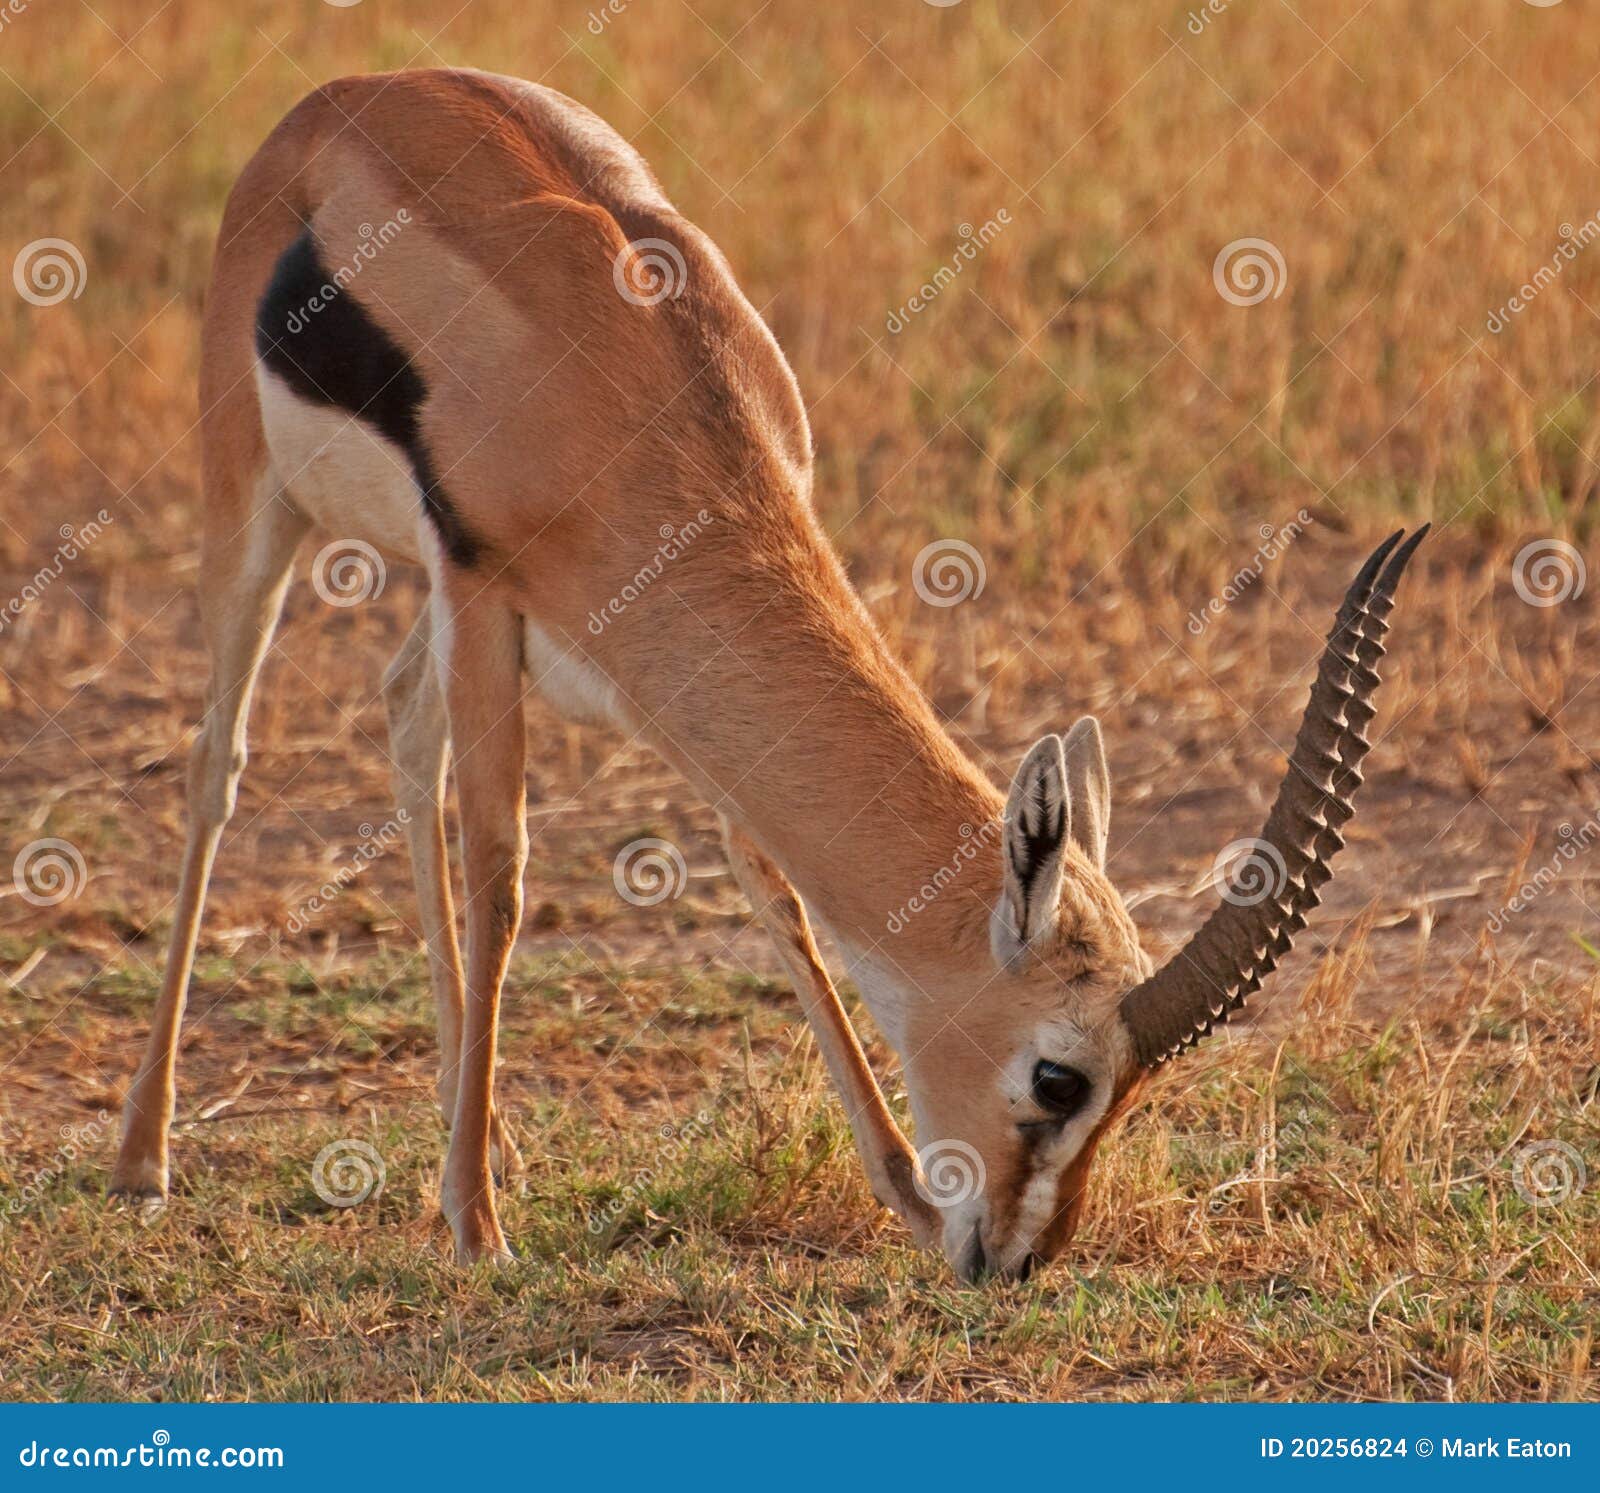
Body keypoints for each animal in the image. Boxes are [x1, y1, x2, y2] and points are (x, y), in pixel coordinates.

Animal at [109, 69, 1424, 1281]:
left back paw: (465, 1136)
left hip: (434, 619)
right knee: (219, 762)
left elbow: (774, 887)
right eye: (1059, 1076)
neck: (638, 395)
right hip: (261, 512)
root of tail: (346, 98)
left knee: (396, 717)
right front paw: (479, 1228)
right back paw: (148, 1155)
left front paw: (904, 1193)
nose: (1016, 1258)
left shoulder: (640, 677)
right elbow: (502, 875)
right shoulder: (484, 596)